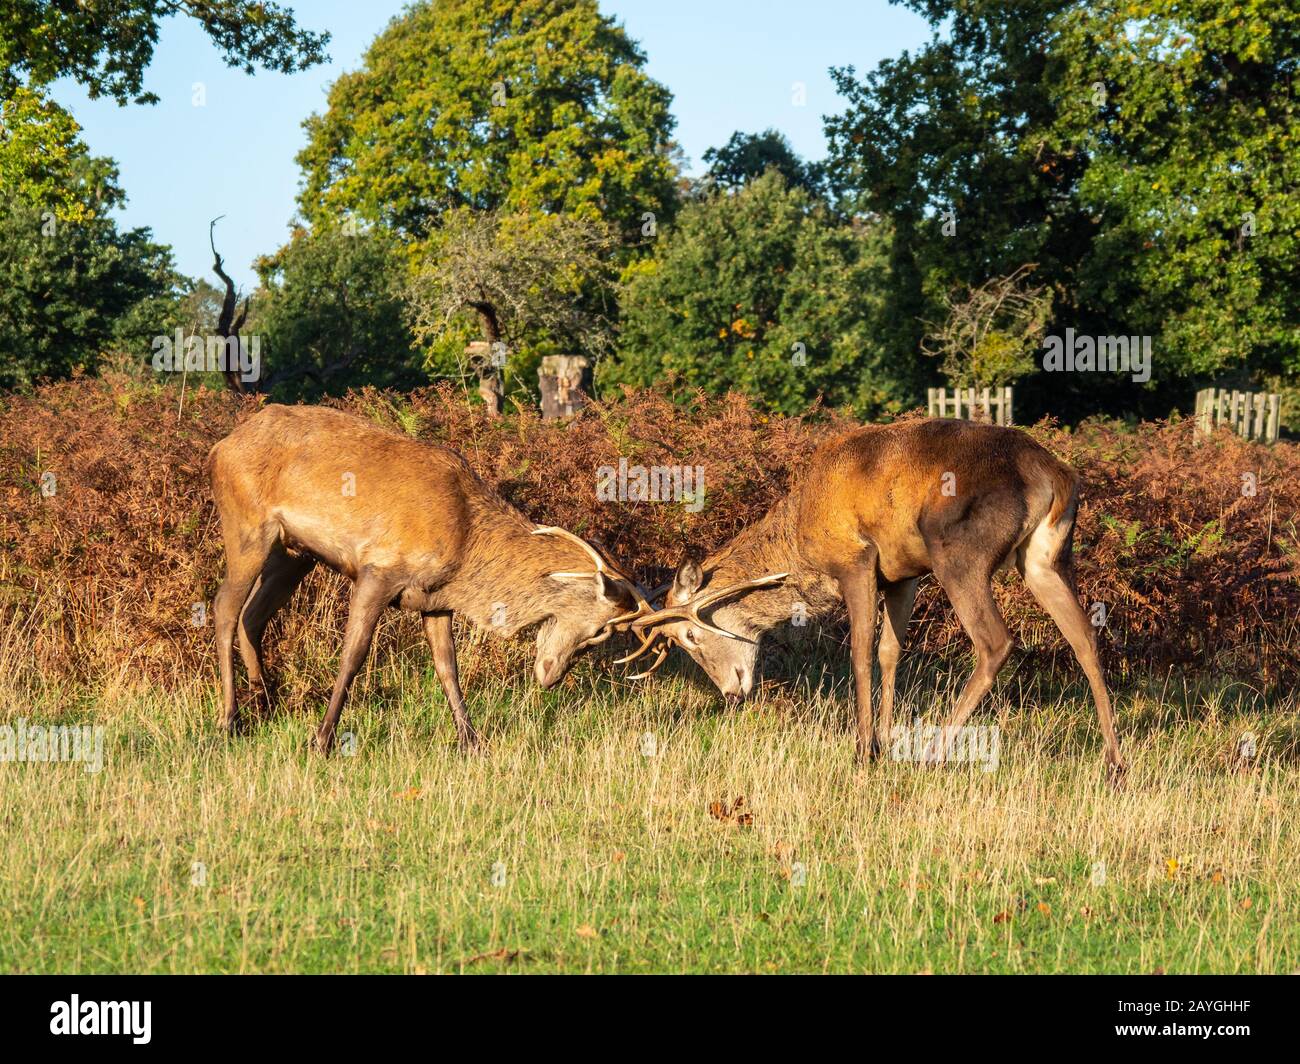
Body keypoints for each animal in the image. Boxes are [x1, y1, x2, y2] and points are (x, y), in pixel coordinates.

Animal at [208, 404, 654, 754]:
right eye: (598, 631)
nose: (551, 677)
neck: (465, 546)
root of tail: (219, 448)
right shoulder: (379, 570)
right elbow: (353, 655)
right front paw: (321, 740)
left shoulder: (435, 602)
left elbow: (447, 668)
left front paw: (472, 742)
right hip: (247, 525)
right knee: (224, 608)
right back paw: (230, 720)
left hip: (296, 554)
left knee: (252, 616)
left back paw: (265, 705)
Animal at [620, 417, 1125, 777]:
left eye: (689, 635)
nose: (730, 693)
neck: (801, 542)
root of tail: (1055, 475)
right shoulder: (902, 575)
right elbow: (890, 651)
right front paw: (884, 740)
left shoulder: (856, 559)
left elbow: (861, 650)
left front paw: (863, 749)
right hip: (1044, 558)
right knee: (1084, 634)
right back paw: (1114, 763)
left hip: (958, 550)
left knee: (996, 642)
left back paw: (935, 754)